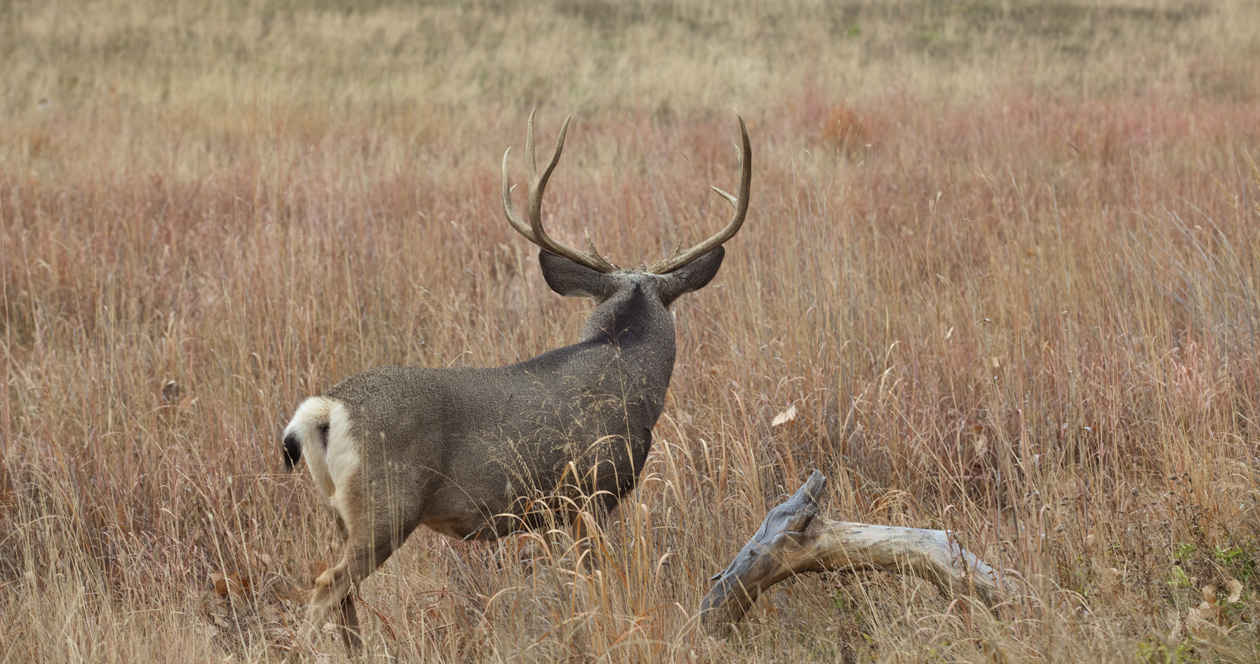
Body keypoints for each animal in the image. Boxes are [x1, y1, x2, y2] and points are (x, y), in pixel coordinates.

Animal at [281, 110, 751, 653]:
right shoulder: (592, 490)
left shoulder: (548, 513)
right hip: (387, 504)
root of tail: (327, 409)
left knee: (344, 598)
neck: (628, 371)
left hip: (340, 511)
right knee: (326, 586)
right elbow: (594, 579)